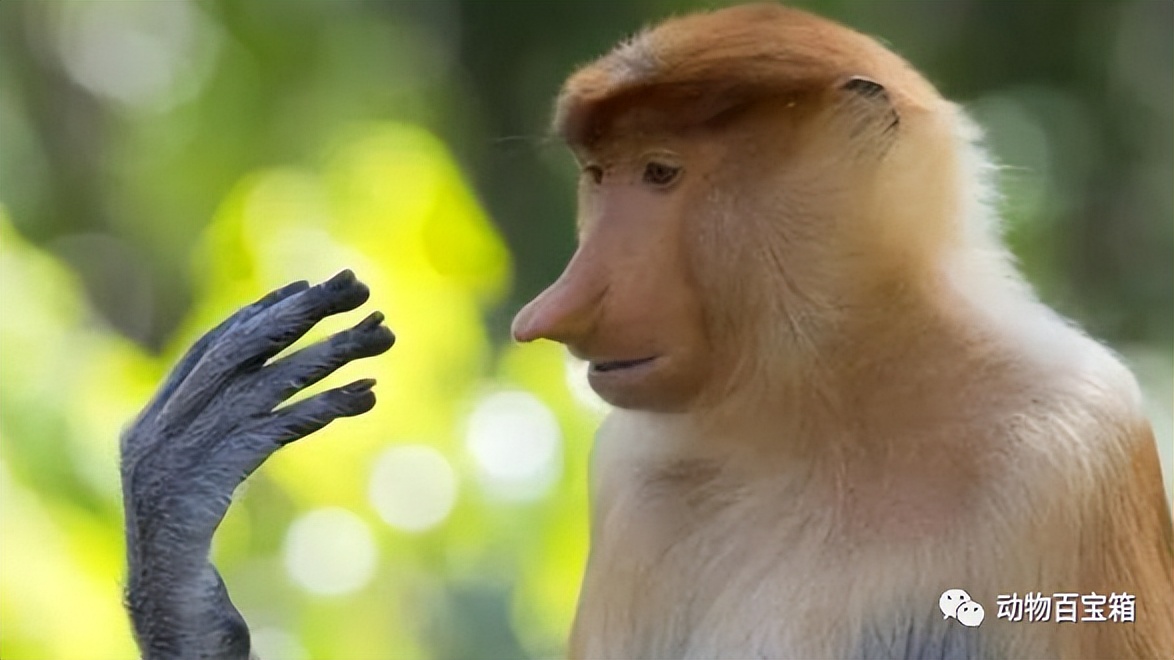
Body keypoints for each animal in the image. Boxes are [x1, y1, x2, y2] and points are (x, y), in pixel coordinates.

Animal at [120, 4, 1173, 660]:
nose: (555, 312)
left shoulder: (1068, 456)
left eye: (661, 174)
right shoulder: (633, 485)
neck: (833, 404)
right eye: (600, 174)